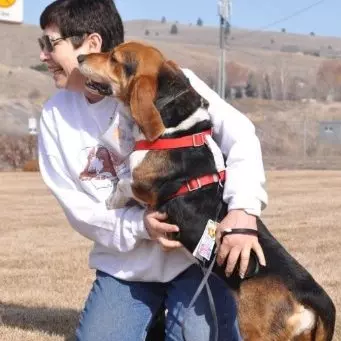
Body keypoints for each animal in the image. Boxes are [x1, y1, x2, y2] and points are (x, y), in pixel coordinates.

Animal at [77, 41, 334, 338]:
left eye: (114, 58)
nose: (80, 58)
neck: (176, 128)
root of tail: (310, 293)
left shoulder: (141, 184)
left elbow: (123, 184)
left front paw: (111, 202)